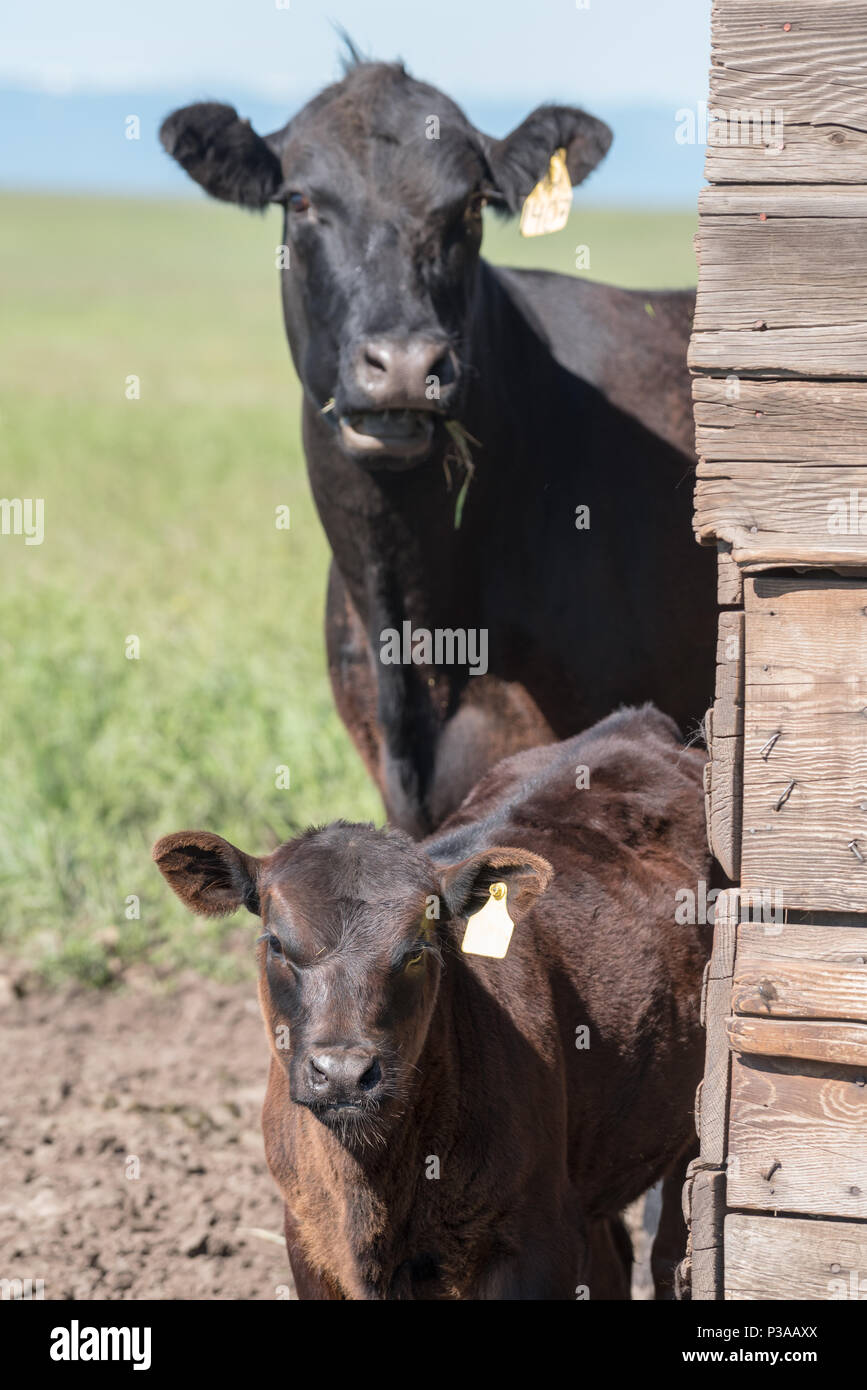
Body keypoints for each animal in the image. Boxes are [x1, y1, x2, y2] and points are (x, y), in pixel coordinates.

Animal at [153, 704, 711, 1300]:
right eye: (277, 943)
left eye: (418, 949)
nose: (344, 1074)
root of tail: (636, 722)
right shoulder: (307, 1238)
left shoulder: (536, 1239)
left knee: (670, 1254)